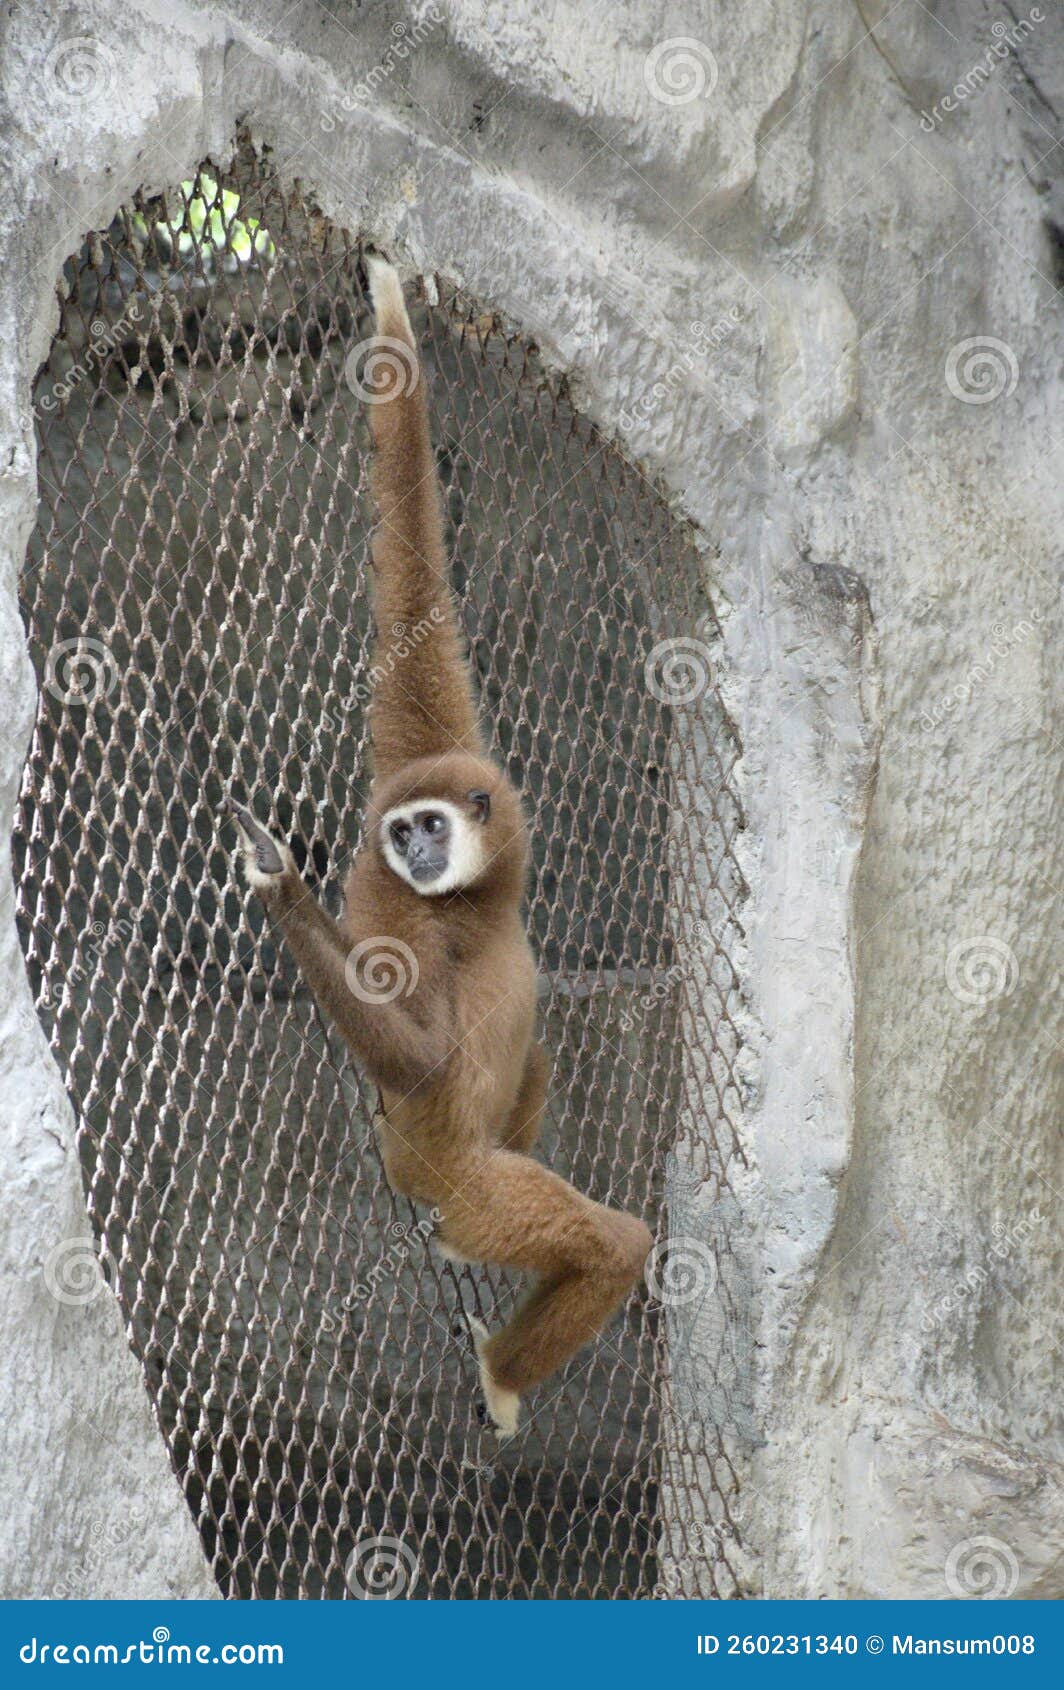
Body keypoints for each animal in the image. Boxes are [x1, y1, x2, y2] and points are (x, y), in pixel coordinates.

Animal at [228, 254, 651, 1434]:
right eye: (402, 832)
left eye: (431, 821)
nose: (412, 847)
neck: (470, 904)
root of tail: (424, 1179)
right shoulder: (393, 904)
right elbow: (416, 1049)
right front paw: (282, 887)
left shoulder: (433, 746)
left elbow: (415, 605)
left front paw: (392, 328)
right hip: (475, 1194)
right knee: (610, 1244)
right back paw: (502, 1375)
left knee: (538, 1059)